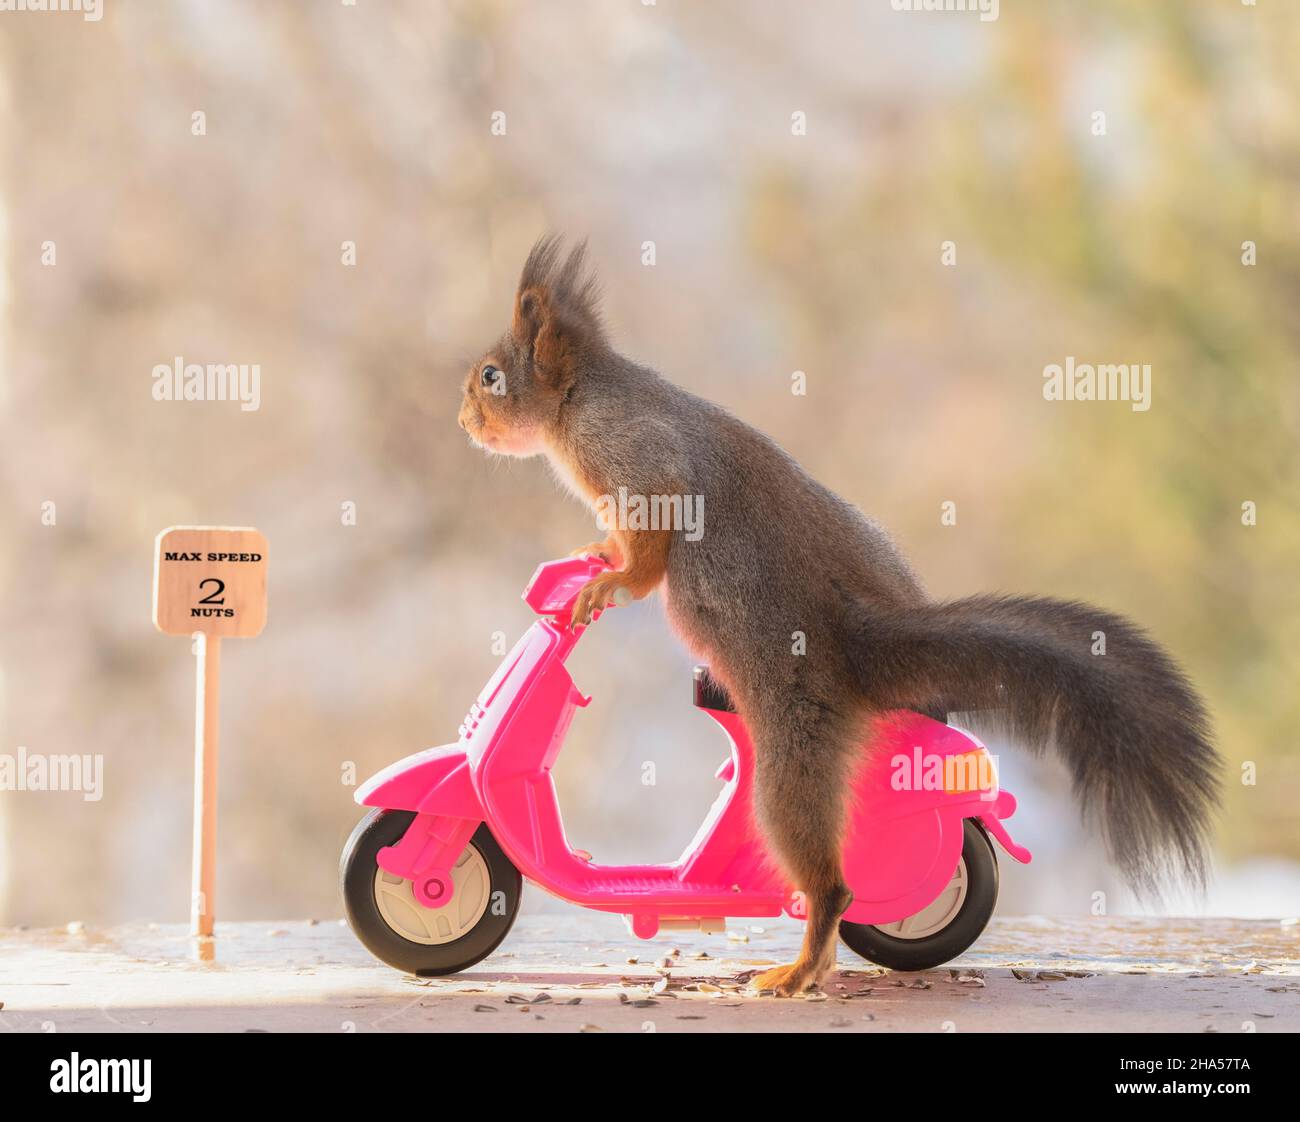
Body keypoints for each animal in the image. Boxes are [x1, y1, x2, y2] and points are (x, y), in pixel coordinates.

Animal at [457, 236, 1221, 996]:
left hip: (793, 750)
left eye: (492, 376)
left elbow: (649, 553)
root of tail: (854, 648)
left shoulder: (642, 463)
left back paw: (799, 967)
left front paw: (608, 583)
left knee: (830, 883)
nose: (462, 421)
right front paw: (593, 556)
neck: (578, 403)